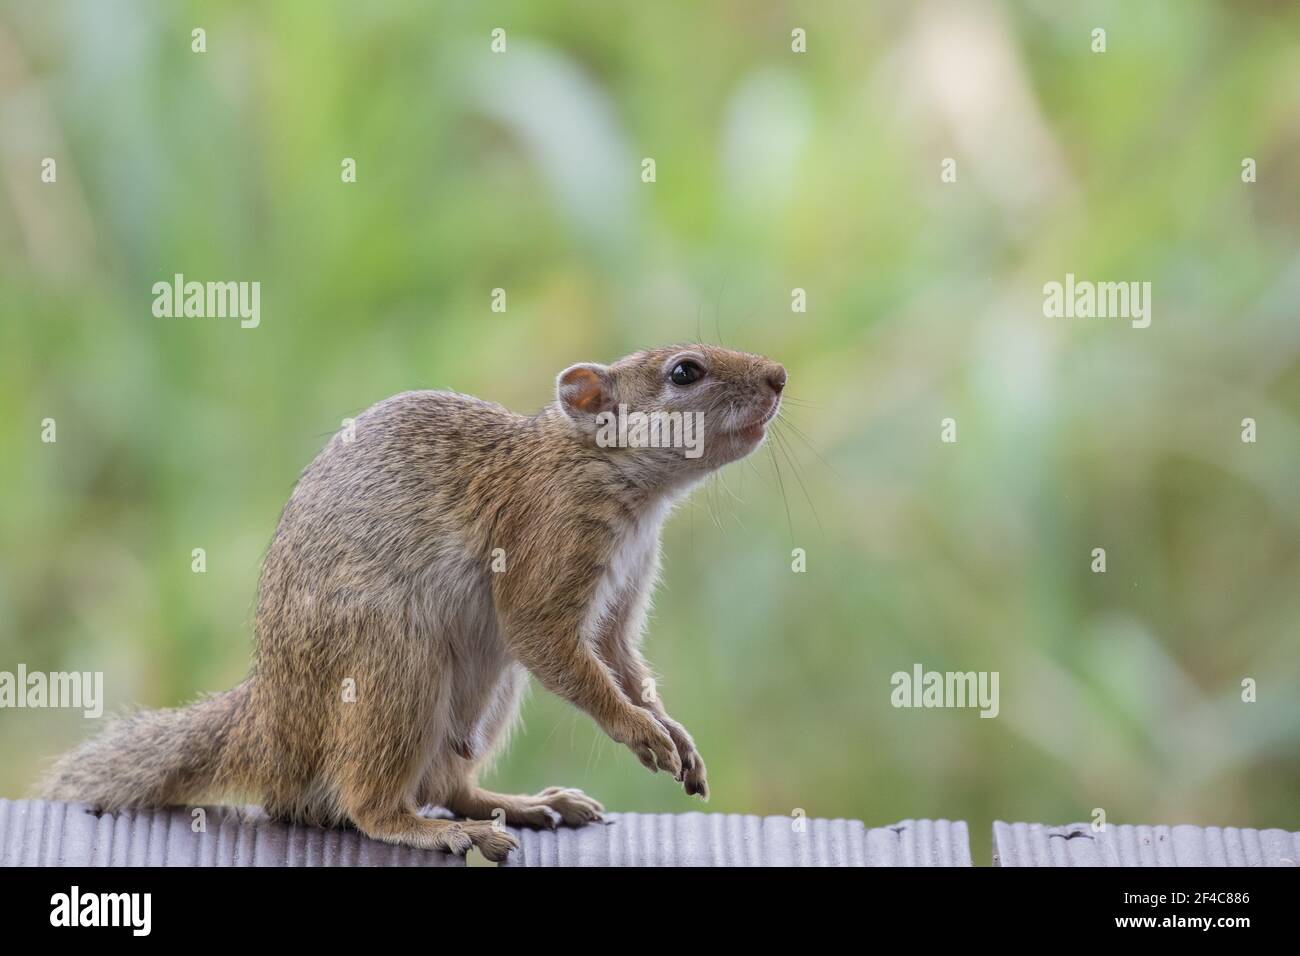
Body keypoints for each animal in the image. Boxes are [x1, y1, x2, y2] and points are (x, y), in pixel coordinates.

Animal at [41, 344, 787, 862]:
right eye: (684, 372)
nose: (779, 376)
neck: (607, 474)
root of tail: (271, 725)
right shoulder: (542, 550)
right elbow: (555, 646)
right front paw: (637, 730)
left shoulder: (621, 598)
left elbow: (621, 661)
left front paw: (673, 732)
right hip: (395, 669)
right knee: (370, 805)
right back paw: (445, 833)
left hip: (485, 696)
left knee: (446, 788)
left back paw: (521, 805)